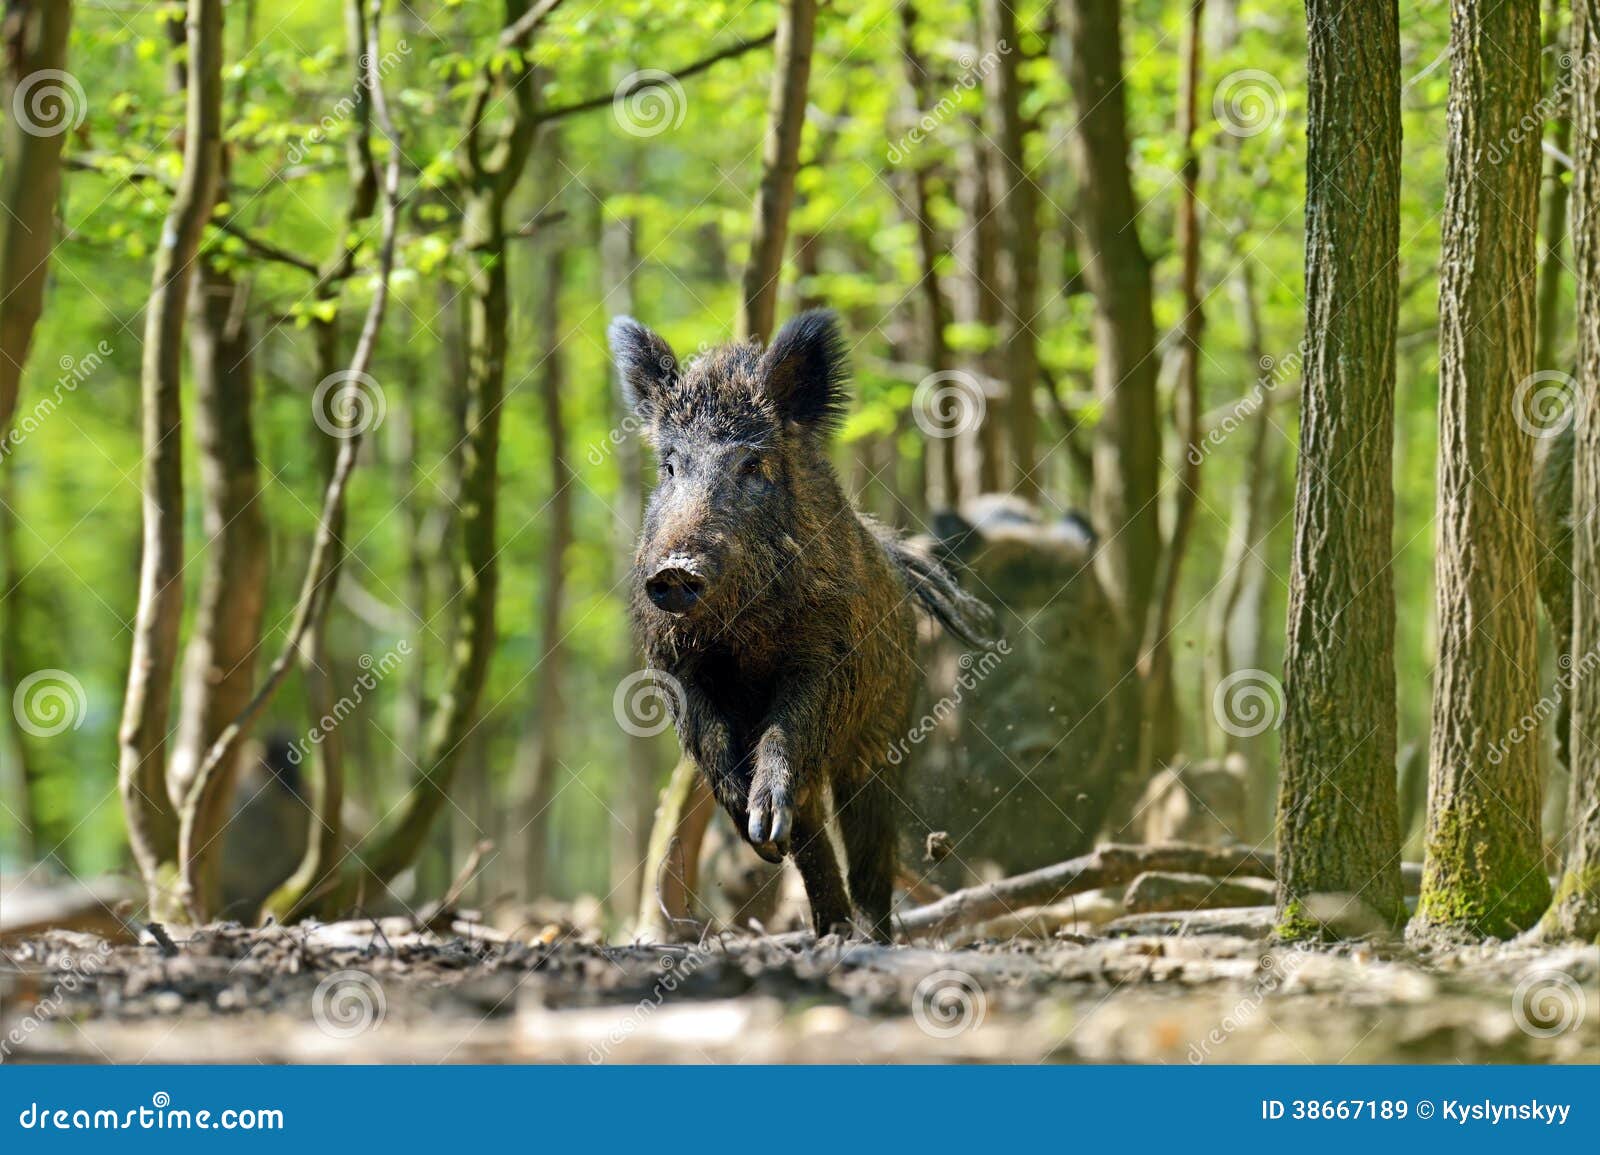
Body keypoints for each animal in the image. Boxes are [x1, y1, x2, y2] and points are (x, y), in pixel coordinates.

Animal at [609, 310, 994, 940]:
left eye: (751, 464)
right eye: (668, 464)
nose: (673, 570)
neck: (740, 636)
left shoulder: (828, 656)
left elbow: (789, 727)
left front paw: (763, 824)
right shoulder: (675, 665)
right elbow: (711, 739)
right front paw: (755, 828)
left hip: (884, 737)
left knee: (870, 848)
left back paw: (868, 936)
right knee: (815, 842)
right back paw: (815, 907)